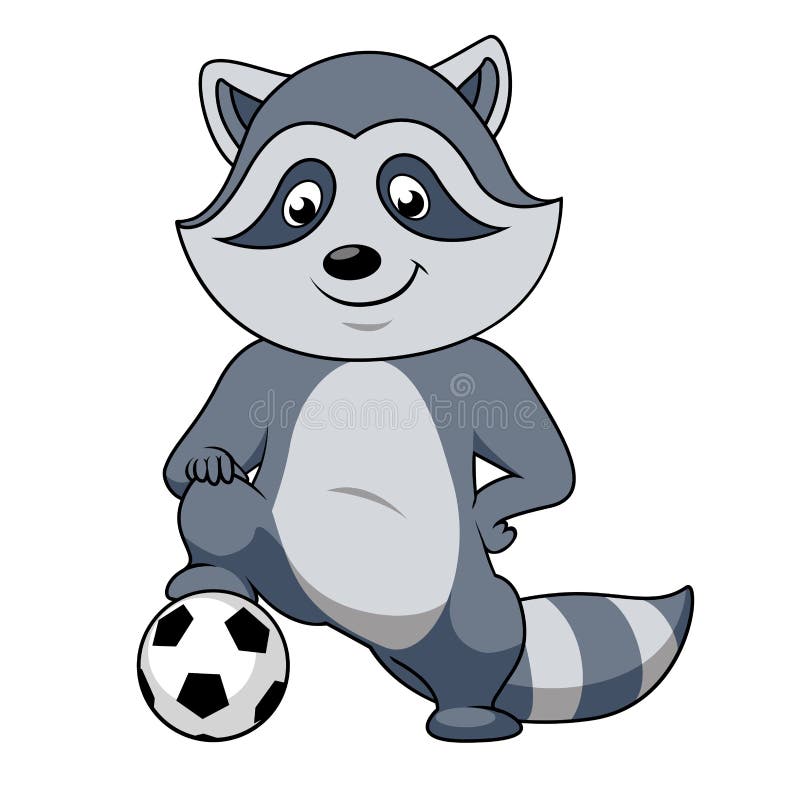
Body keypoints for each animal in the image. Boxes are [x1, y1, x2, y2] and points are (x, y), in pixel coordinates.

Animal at [165, 37, 693, 741]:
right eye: (301, 206)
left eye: (410, 198)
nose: (351, 259)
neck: (370, 354)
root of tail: (352, 627)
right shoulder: (254, 368)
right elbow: (190, 459)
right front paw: (208, 459)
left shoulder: (491, 370)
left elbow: (549, 469)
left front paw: (493, 512)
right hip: (279, 566)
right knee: (218, 508)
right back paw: (208, 574)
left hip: (464, 607)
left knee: (486, 636)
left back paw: (472, 718)